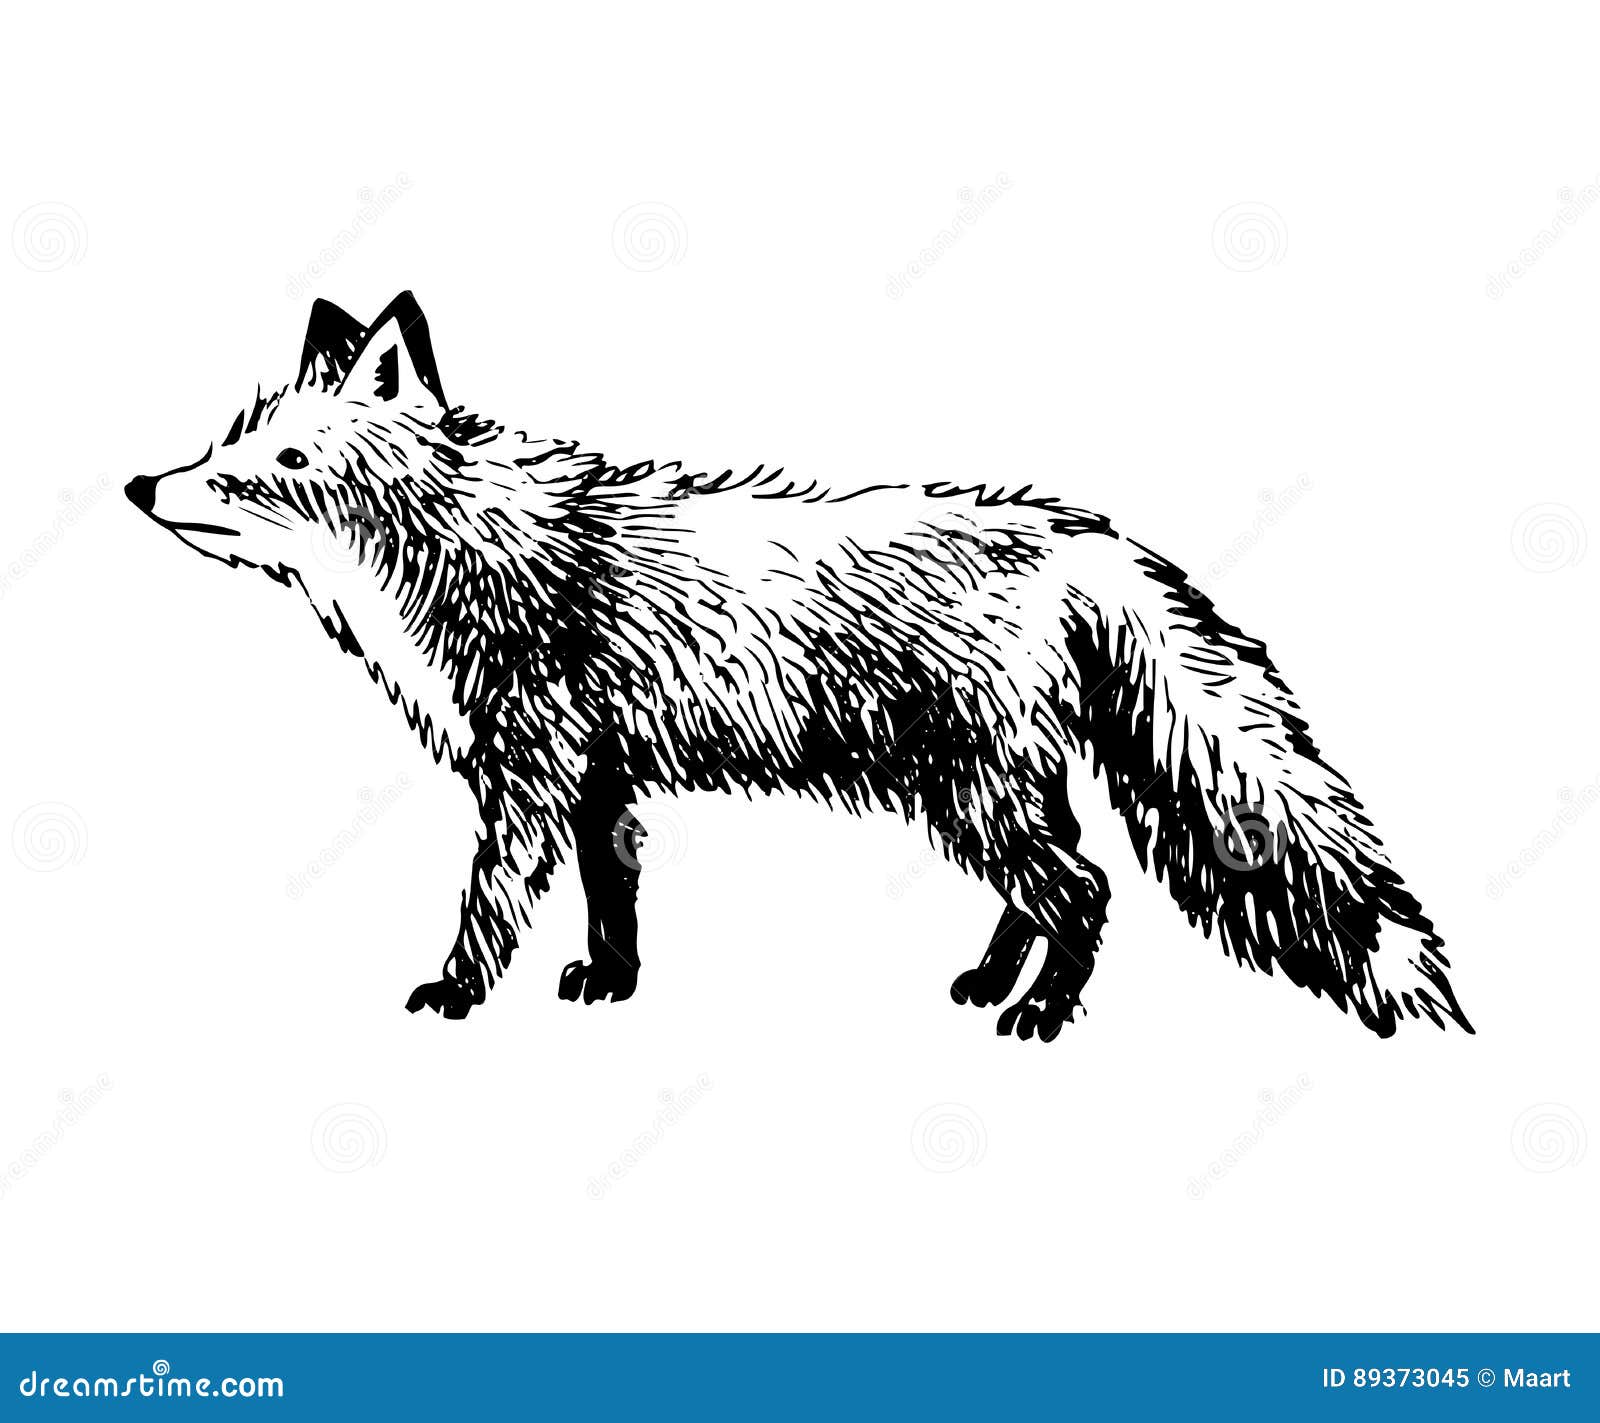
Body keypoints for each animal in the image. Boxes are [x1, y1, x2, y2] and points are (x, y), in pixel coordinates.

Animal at [124, 291, 1471, 1041]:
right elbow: (611, 903)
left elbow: (488, 908)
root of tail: (1077, 535)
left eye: (281, 462)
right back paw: (991, 981)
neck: (473, 550)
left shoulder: (529, 783)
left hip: (971, 794)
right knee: (1052, 885)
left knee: (1084, 890)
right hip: (985, 793)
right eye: (226, 443)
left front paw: (456, 997)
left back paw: (1040, 1013)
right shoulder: (601, 788)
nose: (141, 484)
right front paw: (609, 984)